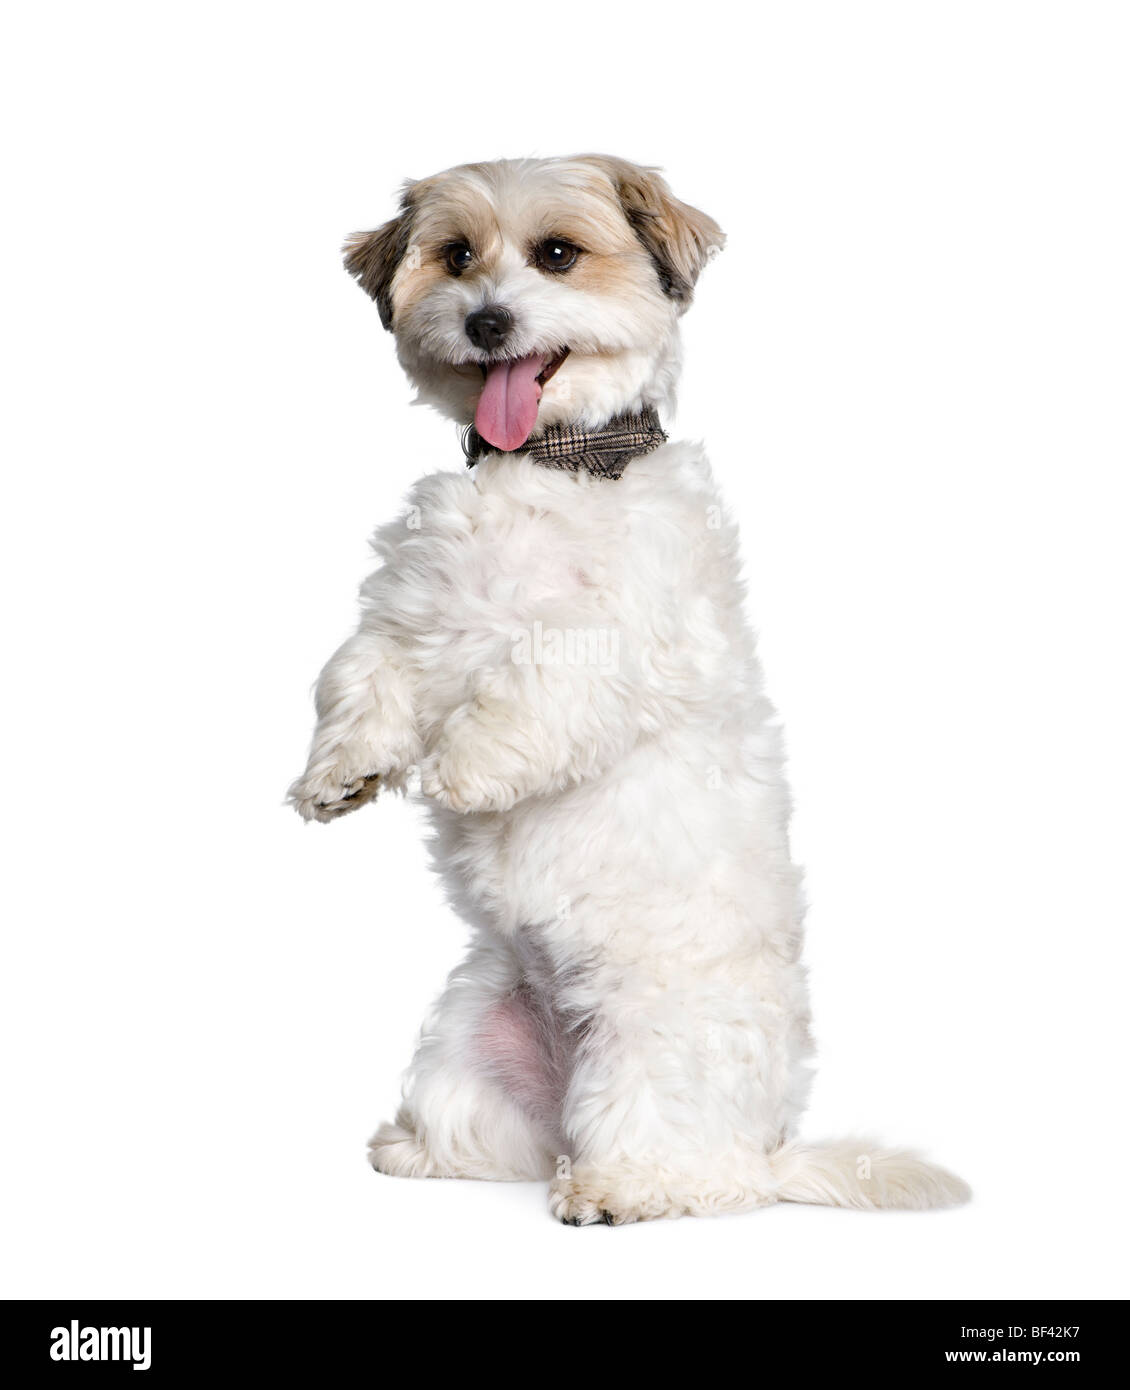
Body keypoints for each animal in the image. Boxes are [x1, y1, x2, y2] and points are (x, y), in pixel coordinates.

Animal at [286, 154, 967, 1228]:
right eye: (455, 256)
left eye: (558, 253)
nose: (486, 321)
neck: (556, 464)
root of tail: (769, 1147)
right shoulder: (410, 609)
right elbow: (361, 672)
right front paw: (339, 773)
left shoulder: (625, 636)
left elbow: (532, 681)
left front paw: (462, 767)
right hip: (464, 1045)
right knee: (489, 1137)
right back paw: (422, 1152)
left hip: (653, 1053)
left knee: (688, 1168)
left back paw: (617, 1189)